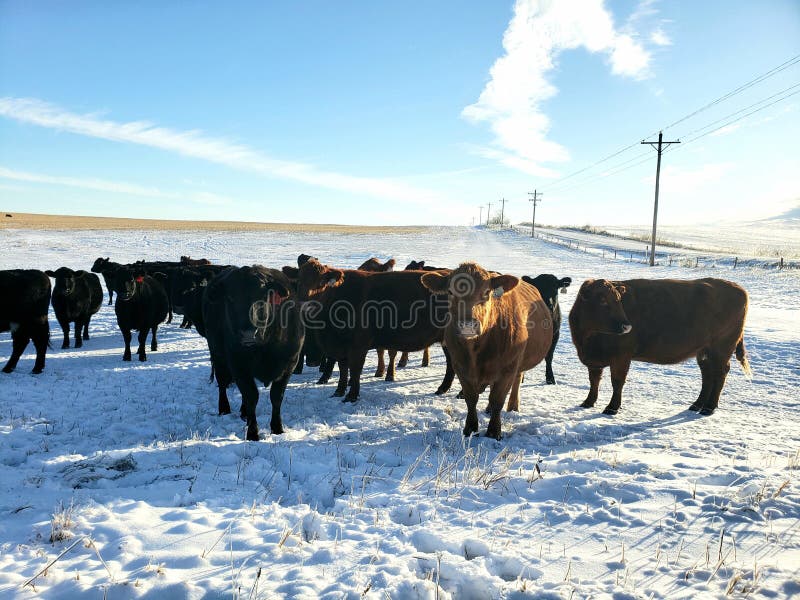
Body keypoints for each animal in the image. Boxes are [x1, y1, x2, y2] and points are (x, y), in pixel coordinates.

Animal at [202, 266, 303, 440]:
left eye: (263, 296)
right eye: (230, 297)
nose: (248, 334)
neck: (265, 347)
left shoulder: (289, 363)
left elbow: (276, 397)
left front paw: (277, 428)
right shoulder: (238, 365)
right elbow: (251, 397)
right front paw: (252, 433)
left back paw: (244, 414)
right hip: (218, 355)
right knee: (222, 382)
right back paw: (224, 409)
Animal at [283, 259, 455, 401]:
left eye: (321, 283)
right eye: (299, 281)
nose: (306, 305)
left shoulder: (358, 345)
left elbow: (355, 369)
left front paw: (352, 396)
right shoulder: (341, 346)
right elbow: (343, 368)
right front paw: (339, 391)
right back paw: (443, 389)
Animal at [421, 263, 552, 440]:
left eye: (486, 292)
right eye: (450, 292)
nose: (468, 325)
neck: (476, 351)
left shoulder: (507, 369)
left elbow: (498, 399)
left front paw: (493, 431)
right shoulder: (460, 366)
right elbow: (471, 399)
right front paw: (470, 429)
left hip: (518, 363)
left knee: (517, 380)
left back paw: (513, 406)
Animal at [569, 278, 750, 416]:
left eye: (619, 300)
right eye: (602, 300)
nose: (627, 327)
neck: (588, 338)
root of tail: (738, 288)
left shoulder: (621, 357)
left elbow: (617, 382)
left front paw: (612, 408)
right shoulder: (594, 360)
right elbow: (594, 381)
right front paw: (588, 401)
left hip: (722, 348)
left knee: (720, 374)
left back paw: (709, 408)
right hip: (704, 351)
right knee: (707, 375)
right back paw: (697, 405)